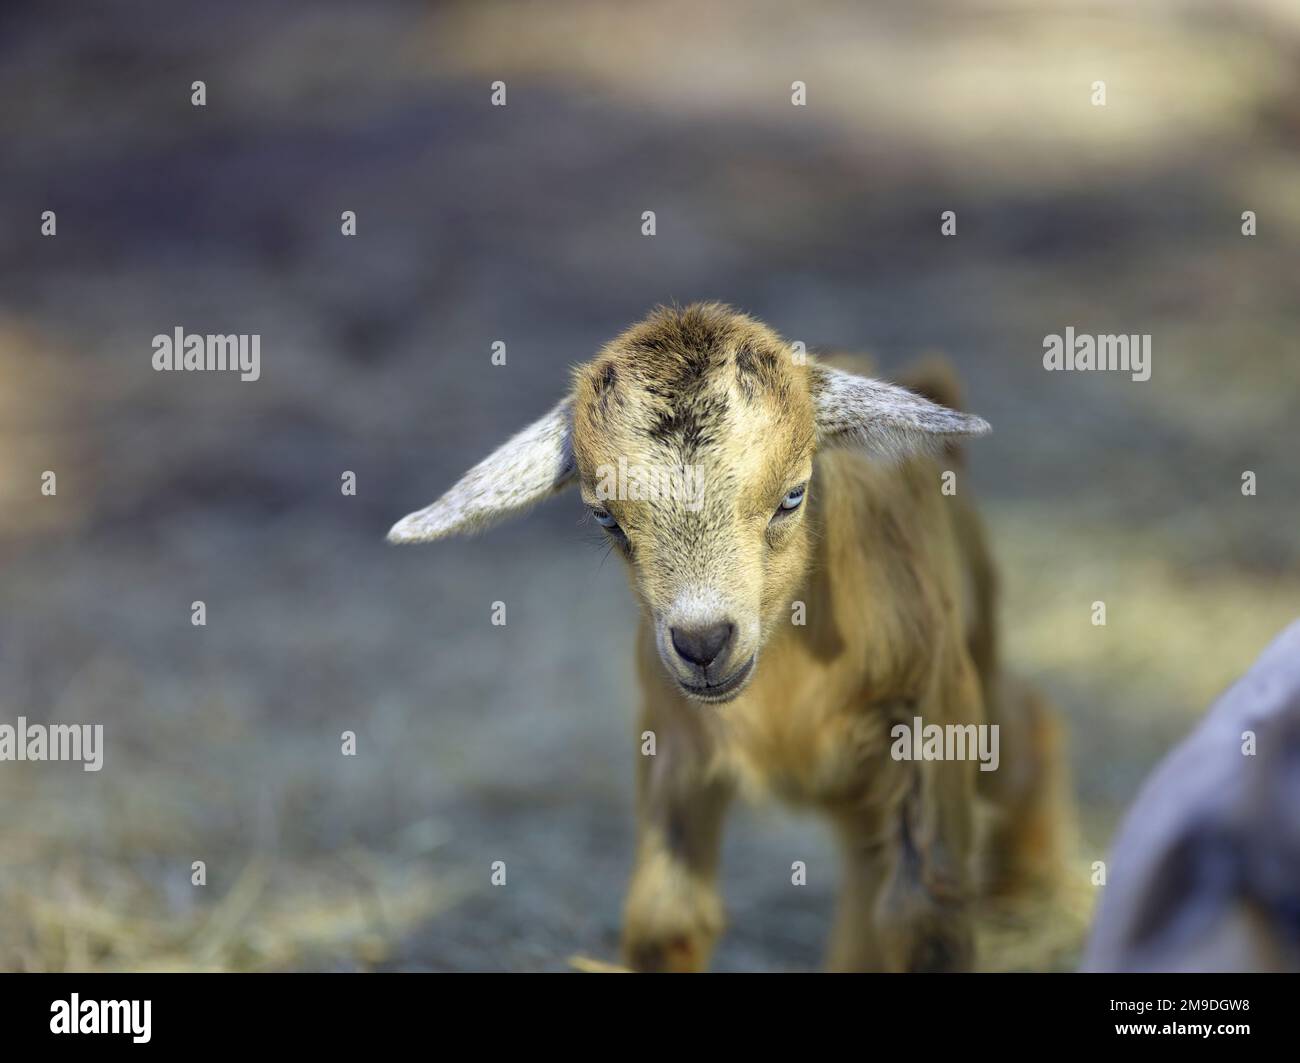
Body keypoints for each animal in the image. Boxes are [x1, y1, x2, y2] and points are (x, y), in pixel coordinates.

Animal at [389, 302, 1065, 971]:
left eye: (793, 494)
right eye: (605, 516)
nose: (703, 643)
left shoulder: (932, 716)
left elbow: (926, 913)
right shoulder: (673, 741)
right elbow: (664, 921)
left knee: (1025, 727)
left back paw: (1022, 883)